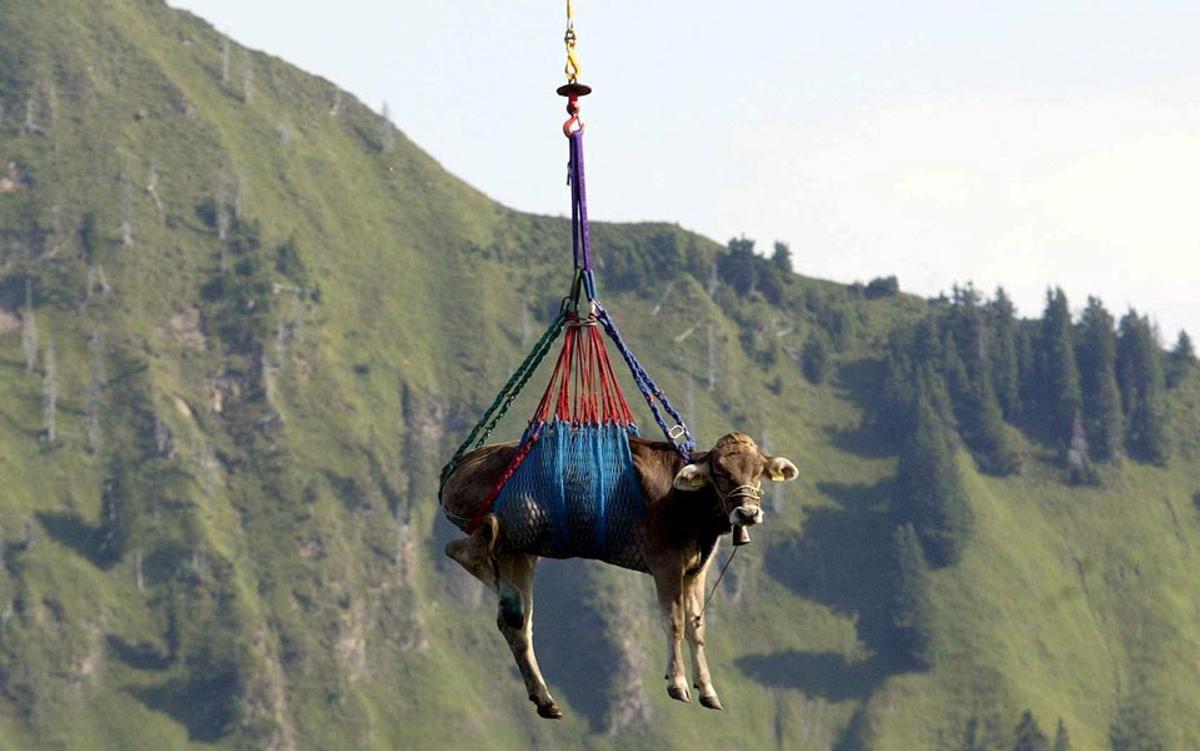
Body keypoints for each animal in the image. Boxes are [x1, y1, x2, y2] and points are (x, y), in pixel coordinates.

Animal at [440, 431, 799, 719]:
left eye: (758, 473)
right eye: (721, 472)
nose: (747, 512)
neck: (688, 504)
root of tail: (462, 465)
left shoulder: (696, 571)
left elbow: (697, 628)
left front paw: (707, 690)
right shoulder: (665, 562)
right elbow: (675, 622)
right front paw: (678, 683)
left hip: (521, 551)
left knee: (517, 623)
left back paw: (544, 697)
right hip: (514, 523)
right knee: (461, 549)